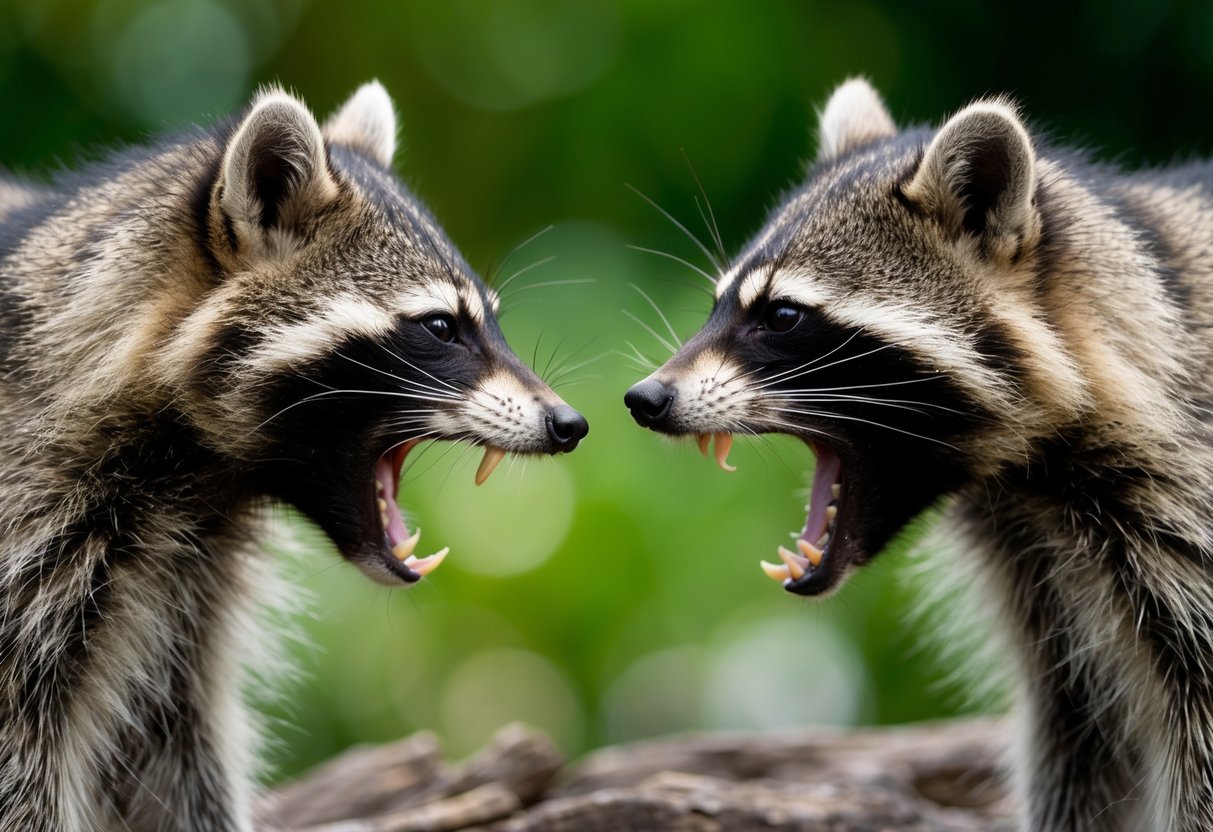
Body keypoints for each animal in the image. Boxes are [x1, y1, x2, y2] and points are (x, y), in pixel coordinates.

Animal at [0, 82, 587, 831]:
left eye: (490, 321)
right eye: (440, 327)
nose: (570, 423)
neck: (195, 480)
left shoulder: (180, 601)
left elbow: (170, 752)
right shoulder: (36, 537)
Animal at [625, 79, 1213, 831]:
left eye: (782, 316)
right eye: (717, 305)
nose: (643, 398)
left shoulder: (1178, 514)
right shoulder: (1051, 594)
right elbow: (1076, 738)